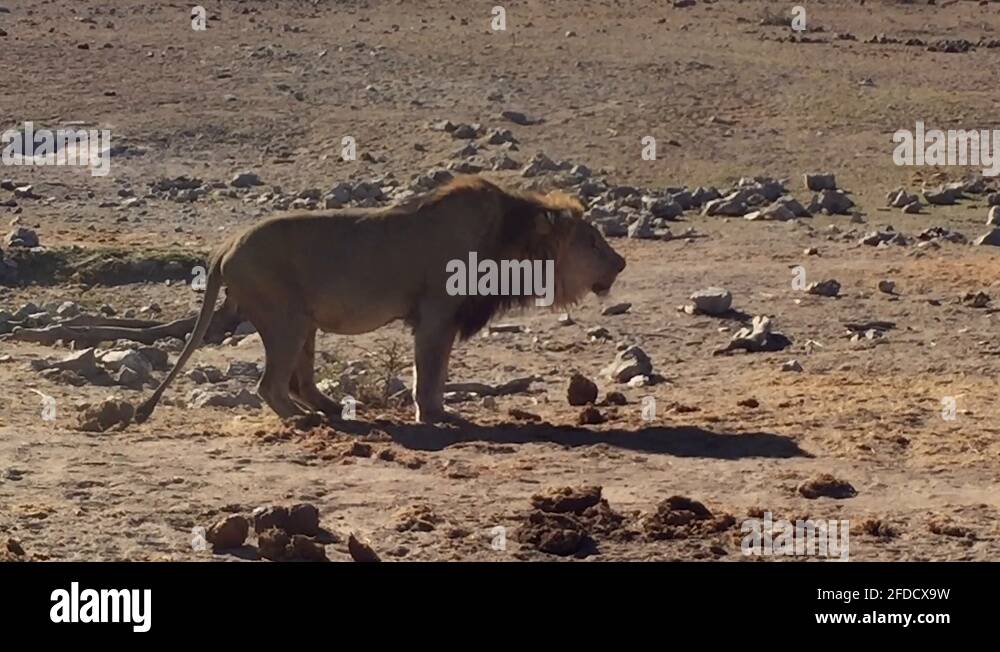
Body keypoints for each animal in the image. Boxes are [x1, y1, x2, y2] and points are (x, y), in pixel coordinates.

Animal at [135, 175, 626, 424]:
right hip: (285, 320)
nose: (621, 263)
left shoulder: (441, 319)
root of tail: (225, 246)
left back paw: (333, 410)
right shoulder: (436, 315)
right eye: (592, 242)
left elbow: (436, 372)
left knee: (297, 382)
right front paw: (433, 414)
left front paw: (438, 410)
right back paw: (304, 420)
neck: (512, 241)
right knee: (269, 386)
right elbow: (429, 372)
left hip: (304, 323)